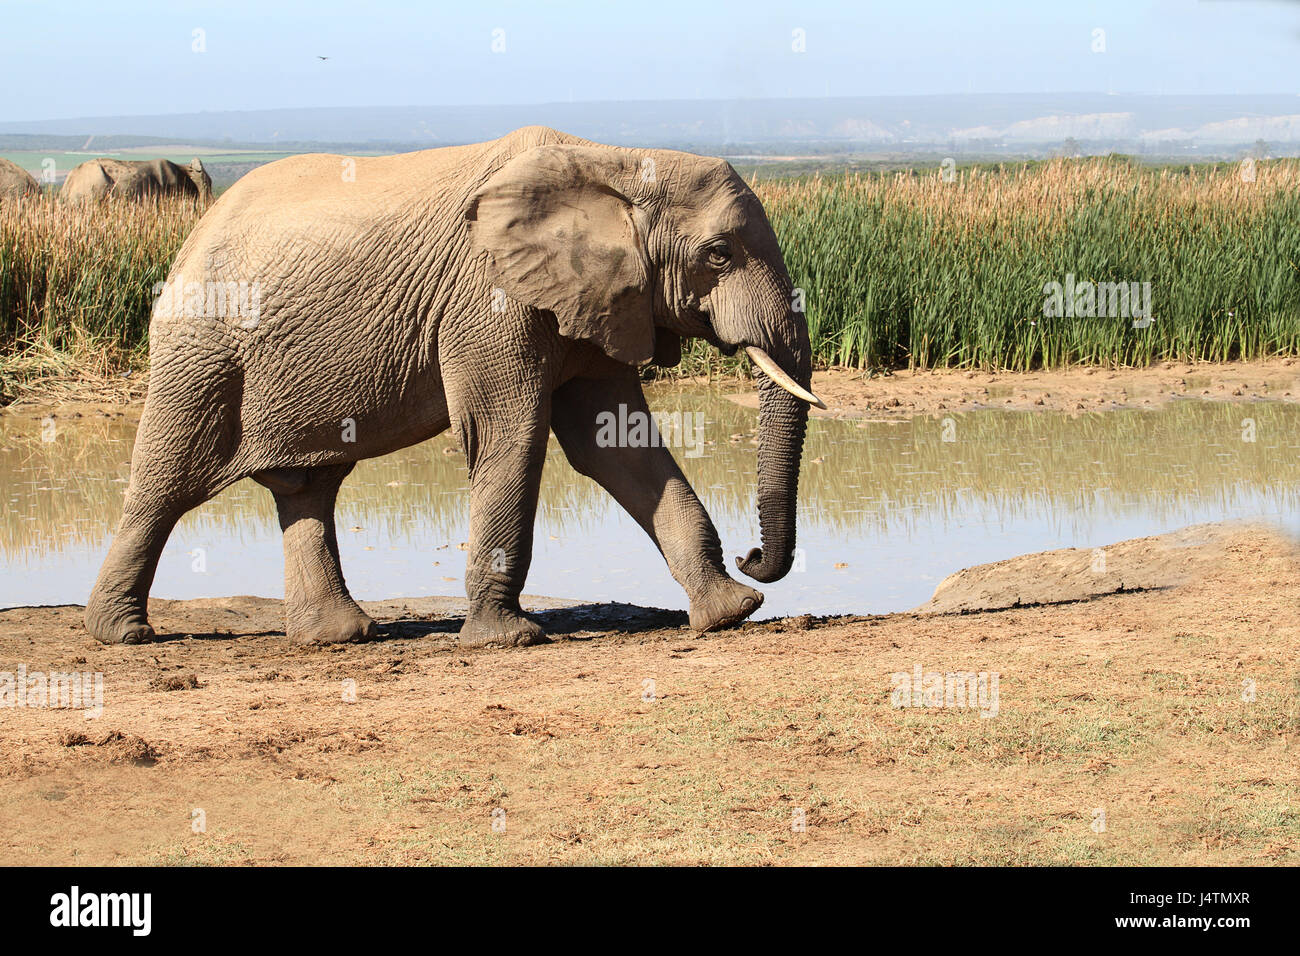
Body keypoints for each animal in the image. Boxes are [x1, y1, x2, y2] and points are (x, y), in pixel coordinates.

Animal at [84, 125, 824, 648]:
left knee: (308, 487)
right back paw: (123, 635)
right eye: (719, 254)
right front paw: (507, 639)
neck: (616, 160)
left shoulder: (600, 298)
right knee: (165, 483)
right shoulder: (488, 298)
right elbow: (508, 436)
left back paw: (340, 637)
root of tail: (191, 236)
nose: (753, 555)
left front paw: (729, 614)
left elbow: (617, 447)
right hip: (201, 351)